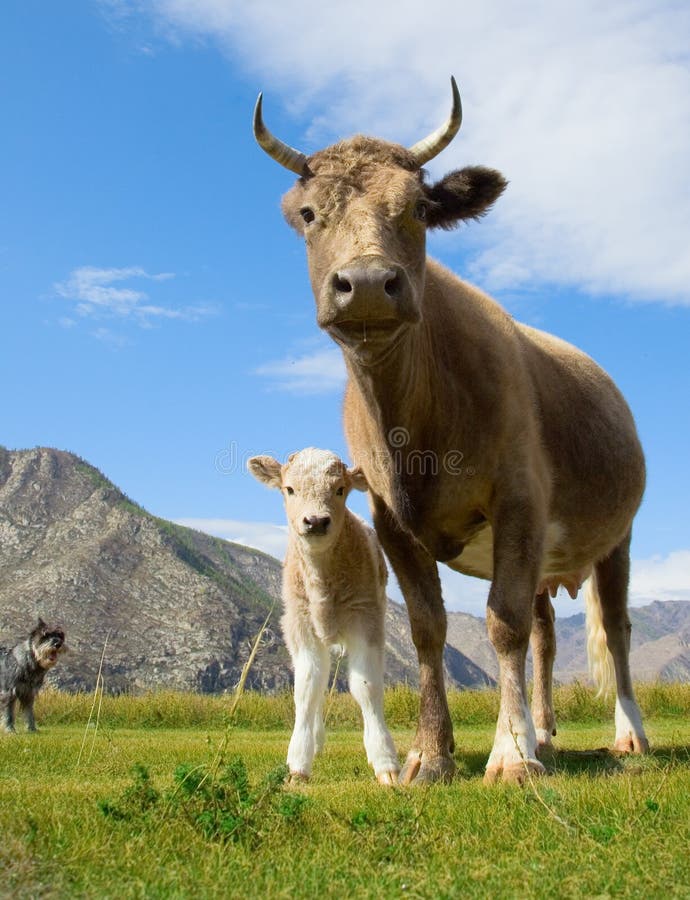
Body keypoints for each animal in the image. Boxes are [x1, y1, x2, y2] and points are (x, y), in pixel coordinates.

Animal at [253, 78, 649, 784]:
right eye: (309, 213)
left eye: (416, 207)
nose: (367, 284)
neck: (414, 430)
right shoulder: (390, 519)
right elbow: (428, 628)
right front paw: (430, 753)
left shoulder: (520, 497)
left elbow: (502, 623)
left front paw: (511, 755)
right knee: (547, 630)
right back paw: (547, 733)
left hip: (617, 534)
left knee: (615, 625)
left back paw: (626, 733)